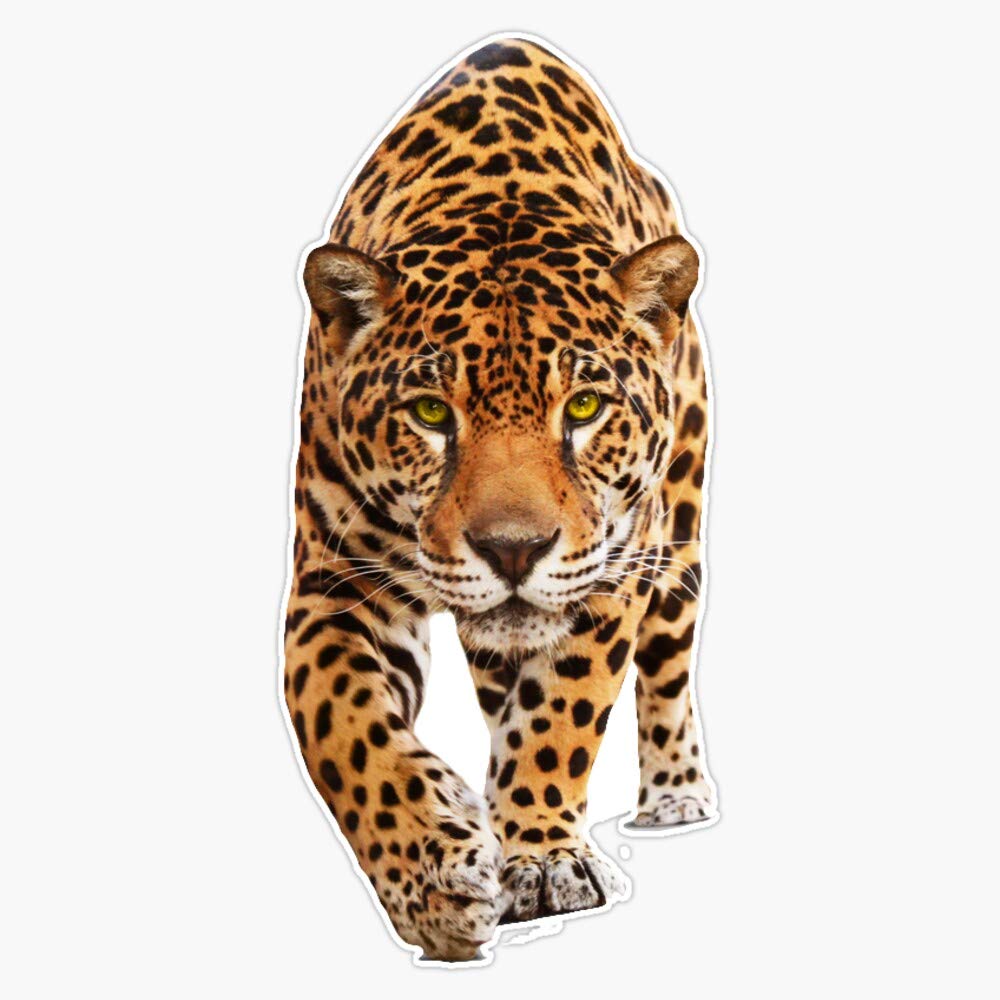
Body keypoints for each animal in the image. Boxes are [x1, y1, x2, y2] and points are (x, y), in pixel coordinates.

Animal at [282, 36, 717, 962]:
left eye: (583, 408)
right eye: (429, 413)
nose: (512, 550)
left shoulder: (612, 567)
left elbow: (563, 713)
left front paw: (542, 858)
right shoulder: (333, 585)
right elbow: (341, 727)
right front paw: (434, 879)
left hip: (681, 538)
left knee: (666, 667)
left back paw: (674, 791)